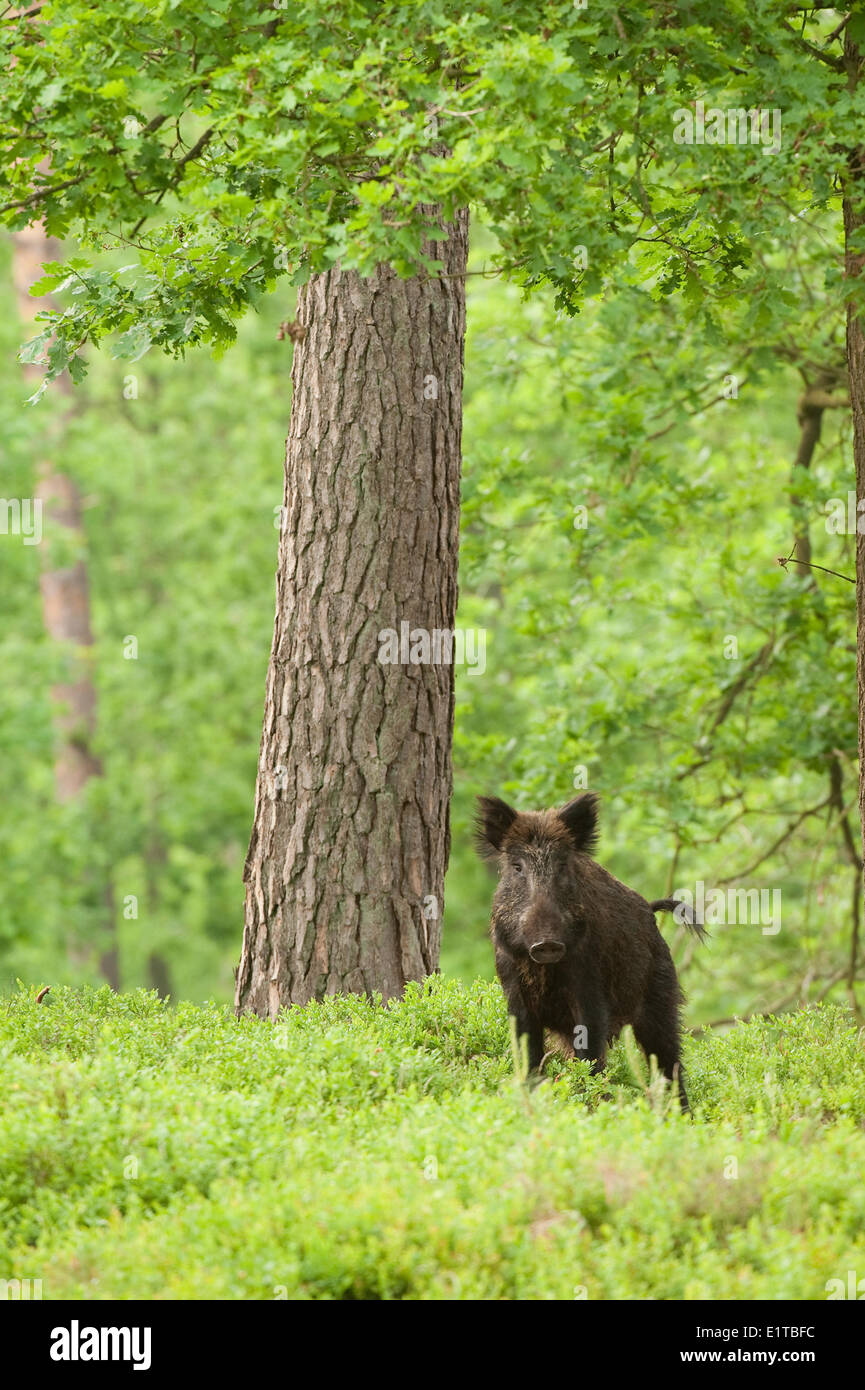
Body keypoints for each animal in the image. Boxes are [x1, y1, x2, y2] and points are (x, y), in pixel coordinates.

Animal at [475, 791, 706, 1111]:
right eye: (517, 867)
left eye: (562, 866)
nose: (546, 942)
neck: (545, 971)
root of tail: (649, 909)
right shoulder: (514, 993)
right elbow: (529, 1056)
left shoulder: (590, 989)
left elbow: (591, 1055)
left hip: (660, 996)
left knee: (668, 1059)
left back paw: (681, 1115)